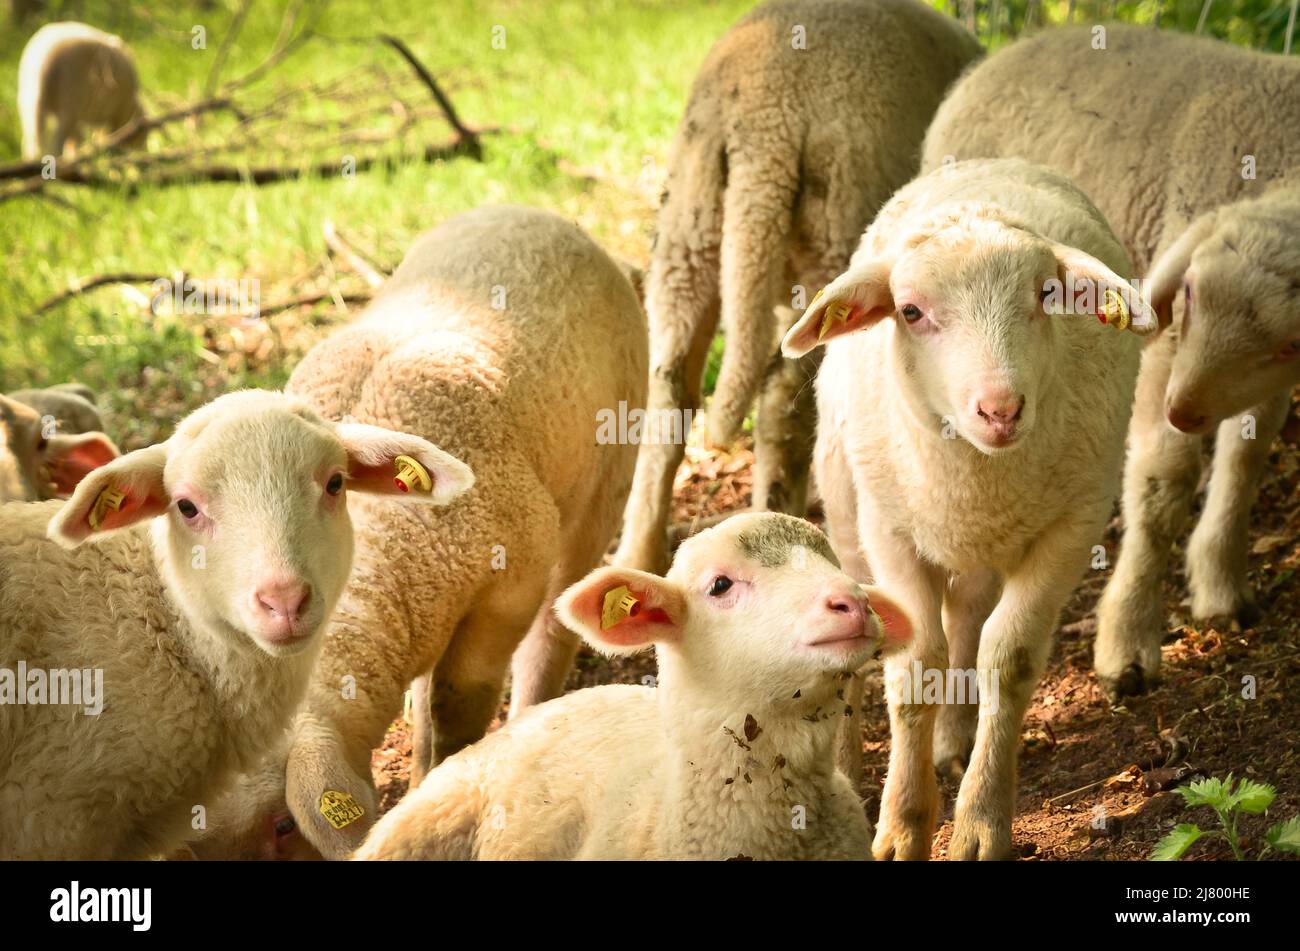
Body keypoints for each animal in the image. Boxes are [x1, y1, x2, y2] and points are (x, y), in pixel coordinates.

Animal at [18, 21, 146, 161]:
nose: (141, 151)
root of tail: (44, 61)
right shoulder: (117, 111)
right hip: (70, 96)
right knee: (56, 140)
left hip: (29, 99)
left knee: (31, 140)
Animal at [186, 206, 648, 860]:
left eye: (283, 824)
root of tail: (537, 213)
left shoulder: (509, 583)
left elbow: (459, 701)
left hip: (607, 470)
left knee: (557, 622)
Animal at [616, 0, 981, 574]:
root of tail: (765, 118)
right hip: (833, 224)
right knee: (784, 396)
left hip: (689, 222)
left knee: (666, 392)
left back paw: (638, 555)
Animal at [781, 158, 1155, 860]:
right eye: (909, 311)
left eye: (1046, 294)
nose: (1001, 410)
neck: (977, 475)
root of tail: (991, 164)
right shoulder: (890, 531)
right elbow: (913, 662)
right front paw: (902, 825)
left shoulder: (1071, 528)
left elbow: (1007, 659)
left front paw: (981, 822)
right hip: (847, 506)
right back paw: (845, 767)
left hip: (984, 544)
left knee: (970, 620)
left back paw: (953, 739)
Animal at [919, 25, 1300, 699]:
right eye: (1191, 291)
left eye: (1287, 345)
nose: (1184, 411)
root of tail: (1002, 55)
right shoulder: (1167, 347)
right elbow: (1162, 483)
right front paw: (1128, 641)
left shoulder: (1257, 377)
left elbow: (1247, 456)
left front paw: (1220, 583)